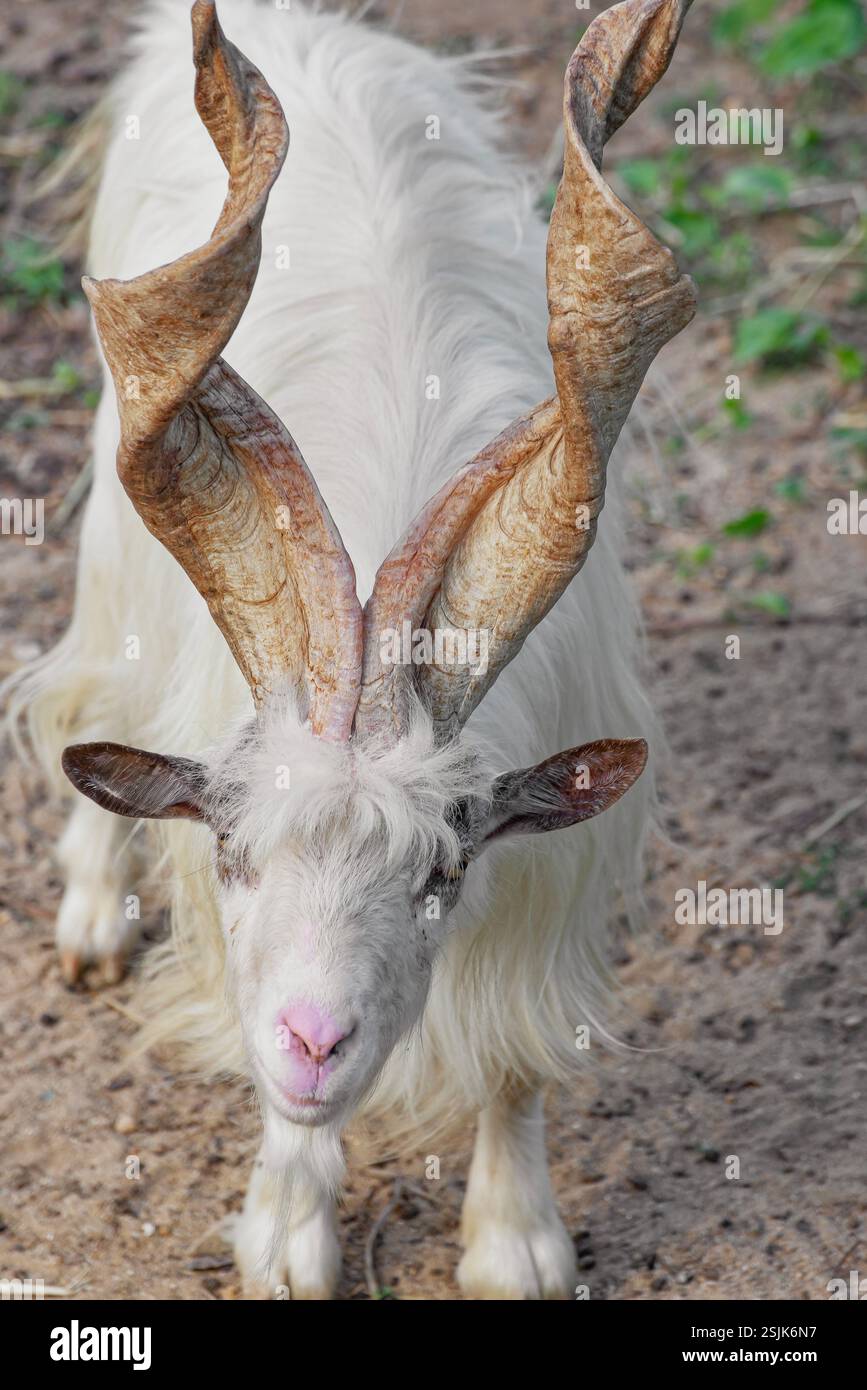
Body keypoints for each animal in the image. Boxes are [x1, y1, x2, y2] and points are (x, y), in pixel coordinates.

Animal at [7, 0, 695, 1298]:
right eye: (234, 853)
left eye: (441, 872)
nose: (317, 1041)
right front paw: (286, 1233)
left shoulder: (551, 864)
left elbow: (515, 1051)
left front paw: (516, 1241)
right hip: (114, 542)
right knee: (89, 688)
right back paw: (92, 911)